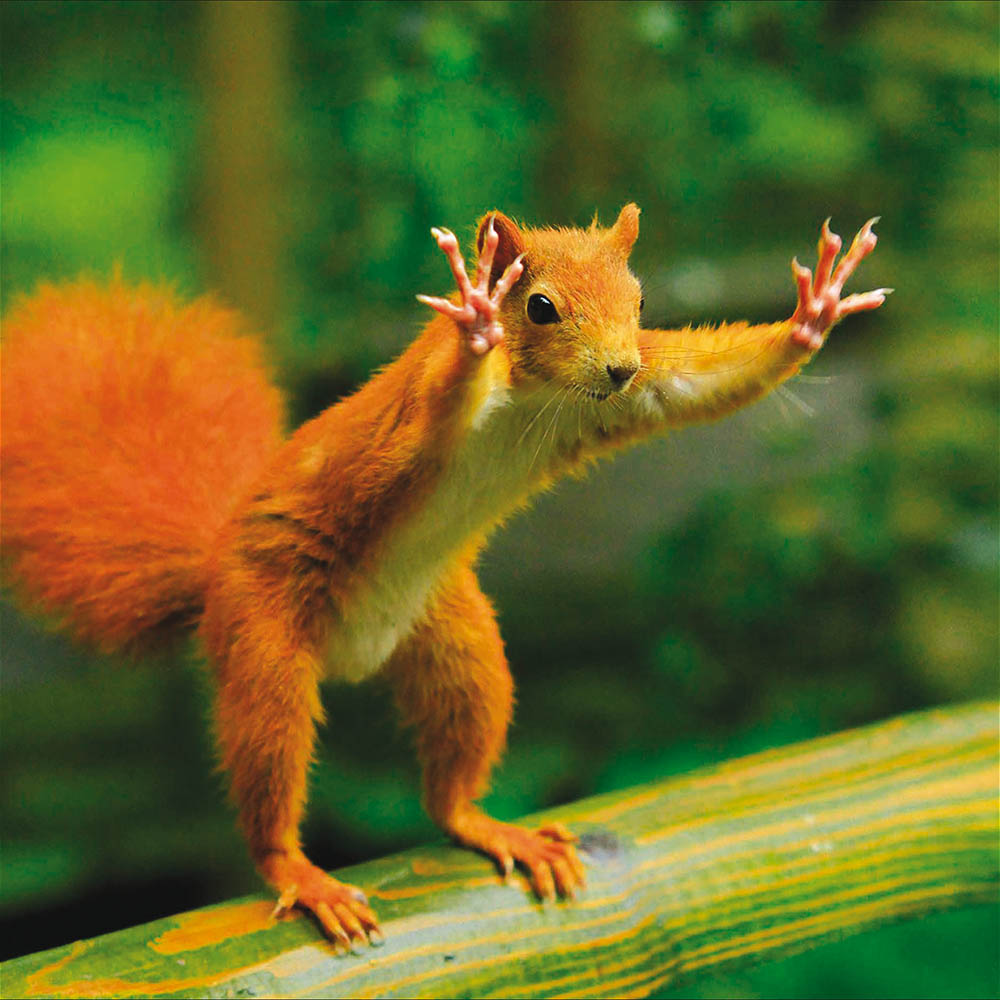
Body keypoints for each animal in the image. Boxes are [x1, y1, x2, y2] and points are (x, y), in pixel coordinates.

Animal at [1, 206, 888, 947]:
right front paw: (474, 322)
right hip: (263, 633)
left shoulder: (631, 396)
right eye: (539, 306)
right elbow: (436, 406)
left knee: (449, 778)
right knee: (269, 759)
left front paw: (813, 316)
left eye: (640, 299)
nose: (618, 368)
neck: (534, 398)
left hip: (454, 639)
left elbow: (698, 383)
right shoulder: (414, 421)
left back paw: (487, 825)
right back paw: (299, 871)